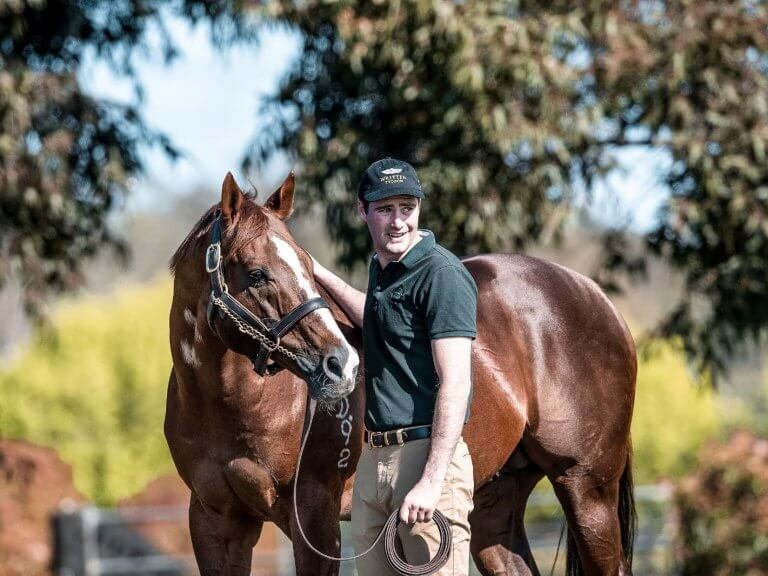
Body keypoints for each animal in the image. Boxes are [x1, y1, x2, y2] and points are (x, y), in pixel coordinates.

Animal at [165, 172, 636, 576]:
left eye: (306, 264)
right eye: (257, 273)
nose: (341, 364)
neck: (234, 407)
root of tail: (597, 297)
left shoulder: (313, 521)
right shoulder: (215, 522)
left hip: (587, 490)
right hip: (494, 504)